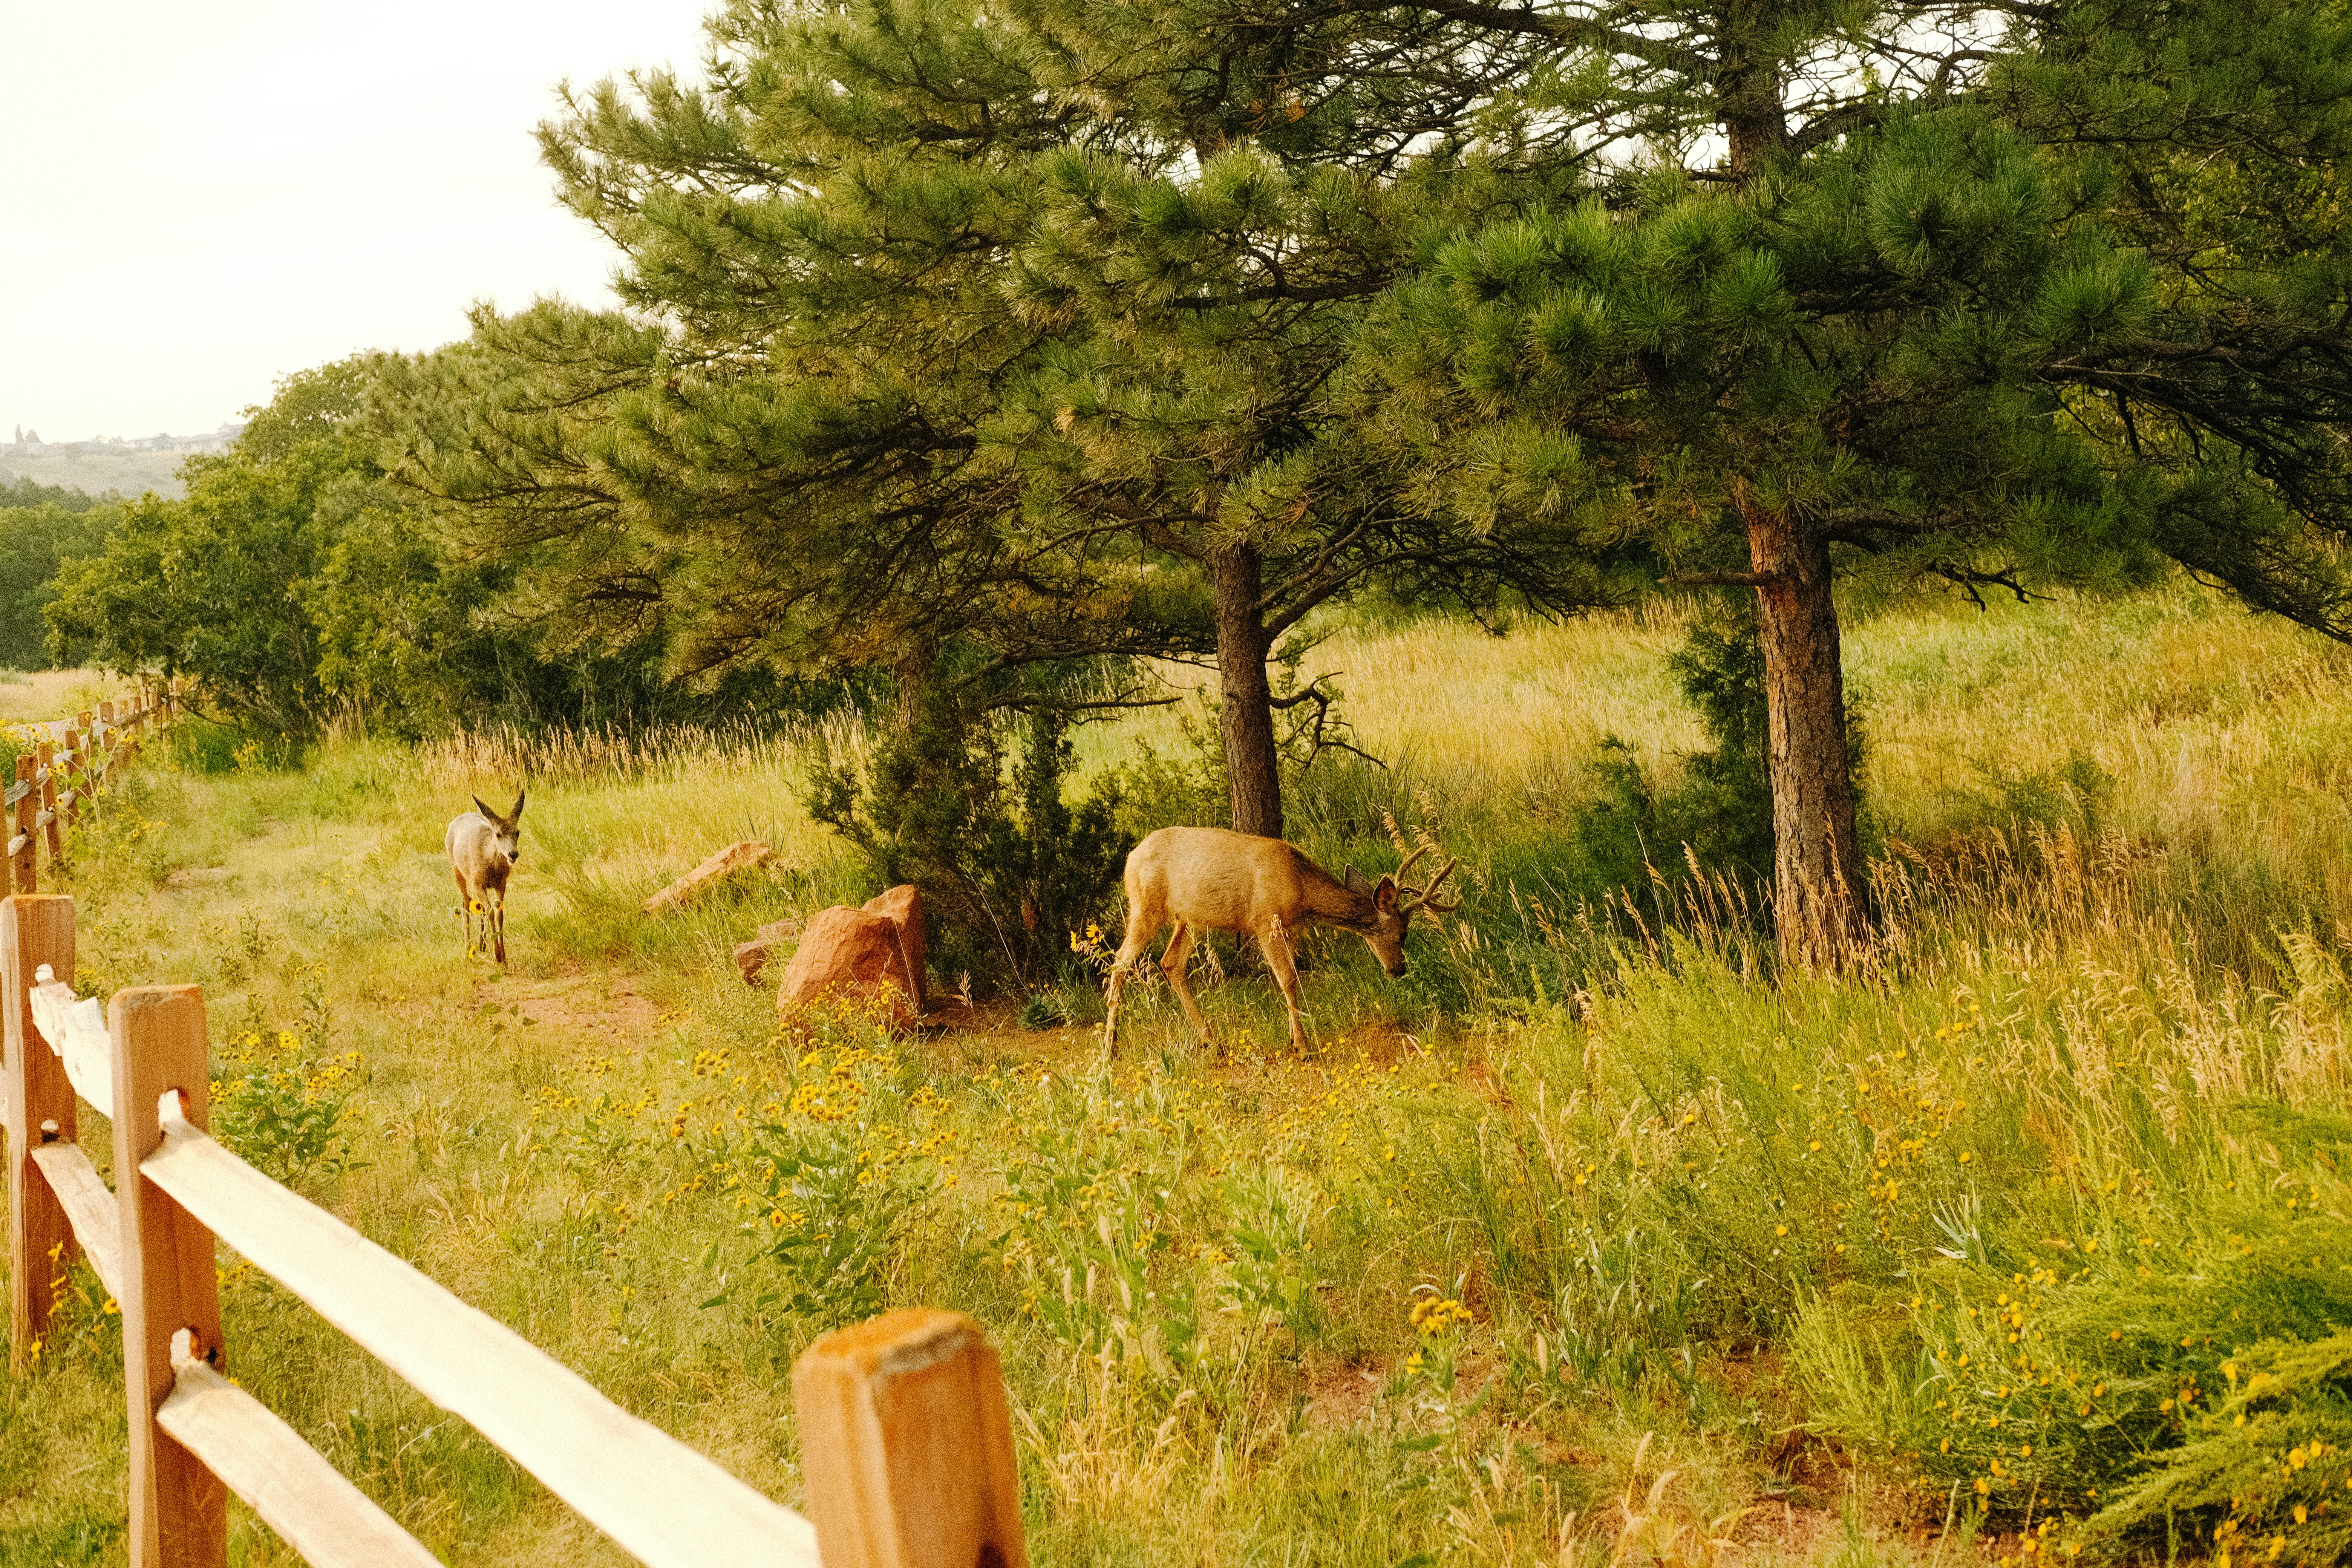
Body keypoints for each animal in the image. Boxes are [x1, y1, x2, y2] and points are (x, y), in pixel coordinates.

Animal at [446, 791, 525, 964]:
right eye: (499, 834)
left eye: (517, 833)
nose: (513, 854)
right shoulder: (478, 883)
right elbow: (490, 912)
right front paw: (498, 956)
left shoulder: (501, 883)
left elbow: (499, 914)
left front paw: (504, 958)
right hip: (457, 869)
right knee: (466, 902)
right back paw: (468, 949)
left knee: (478, 906)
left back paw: (482, 944)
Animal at [1102, 826, 1459, 1055]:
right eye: (1403, 932)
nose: (1398, 970)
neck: (1301, 889)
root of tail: (1130, 858)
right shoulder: (1265, 923)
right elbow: (1287, 979)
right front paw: (1302, 1046)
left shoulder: (1289, 930)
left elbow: (1293, 979)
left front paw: (1293, 1037)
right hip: (1146, 905)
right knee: (1119, 963)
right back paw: (1111, 1046)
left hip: (1190, 918)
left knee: (1170, 963)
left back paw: (1211, 1041)